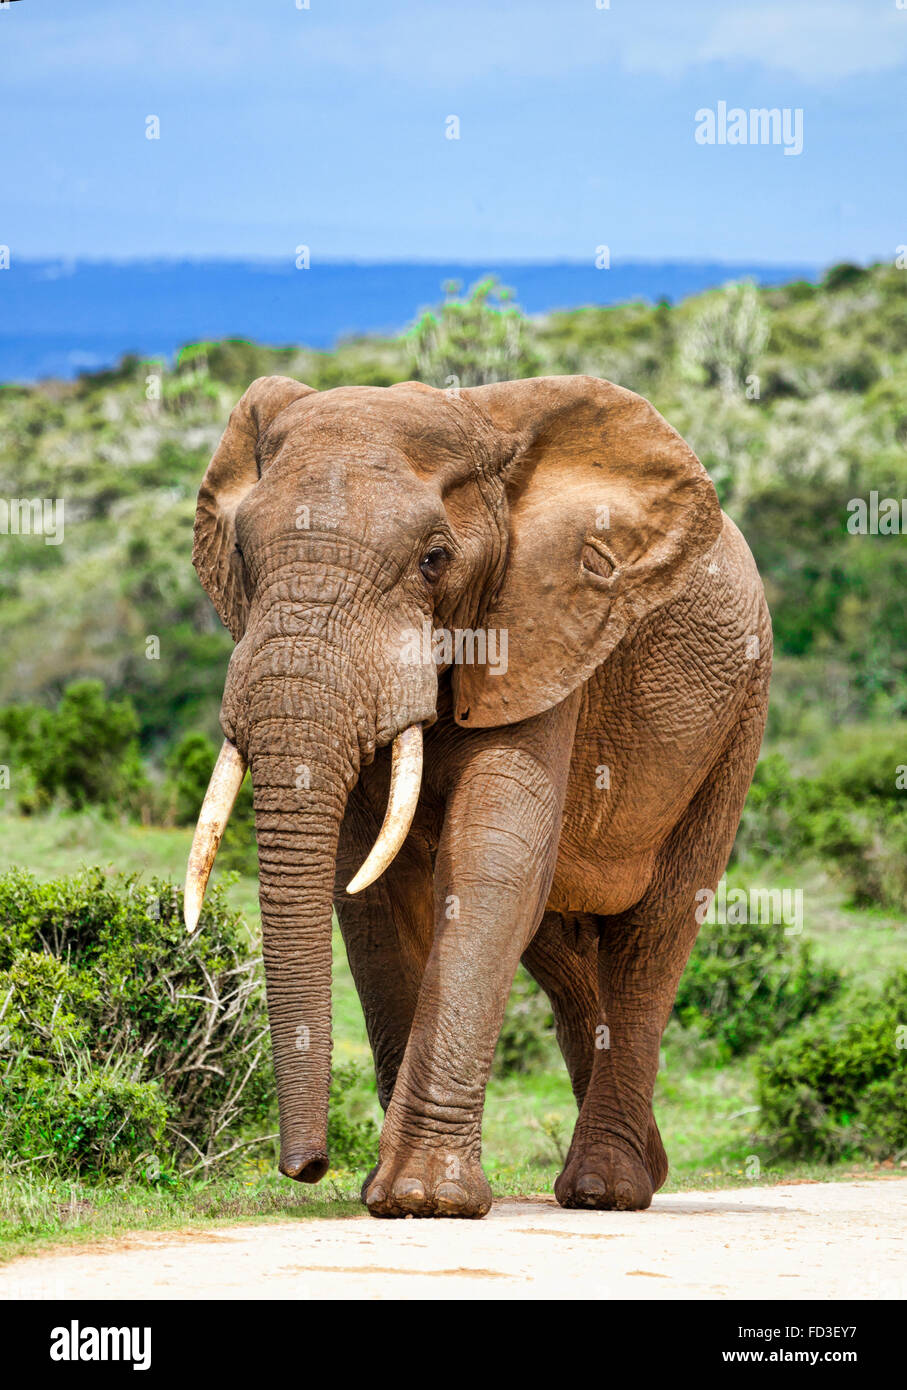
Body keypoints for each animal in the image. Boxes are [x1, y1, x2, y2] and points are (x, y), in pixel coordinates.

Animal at [184, 373, 771, 1218]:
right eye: (239, 552)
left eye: (435, 560)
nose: (307, 1166)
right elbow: (369, 890)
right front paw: (390, 1192)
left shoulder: (548, 623)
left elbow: (492, 862)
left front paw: (423, 1199)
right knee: (559, 949)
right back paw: (643, 1168)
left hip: (736, 720)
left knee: (654, 931)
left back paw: (606, 1188)